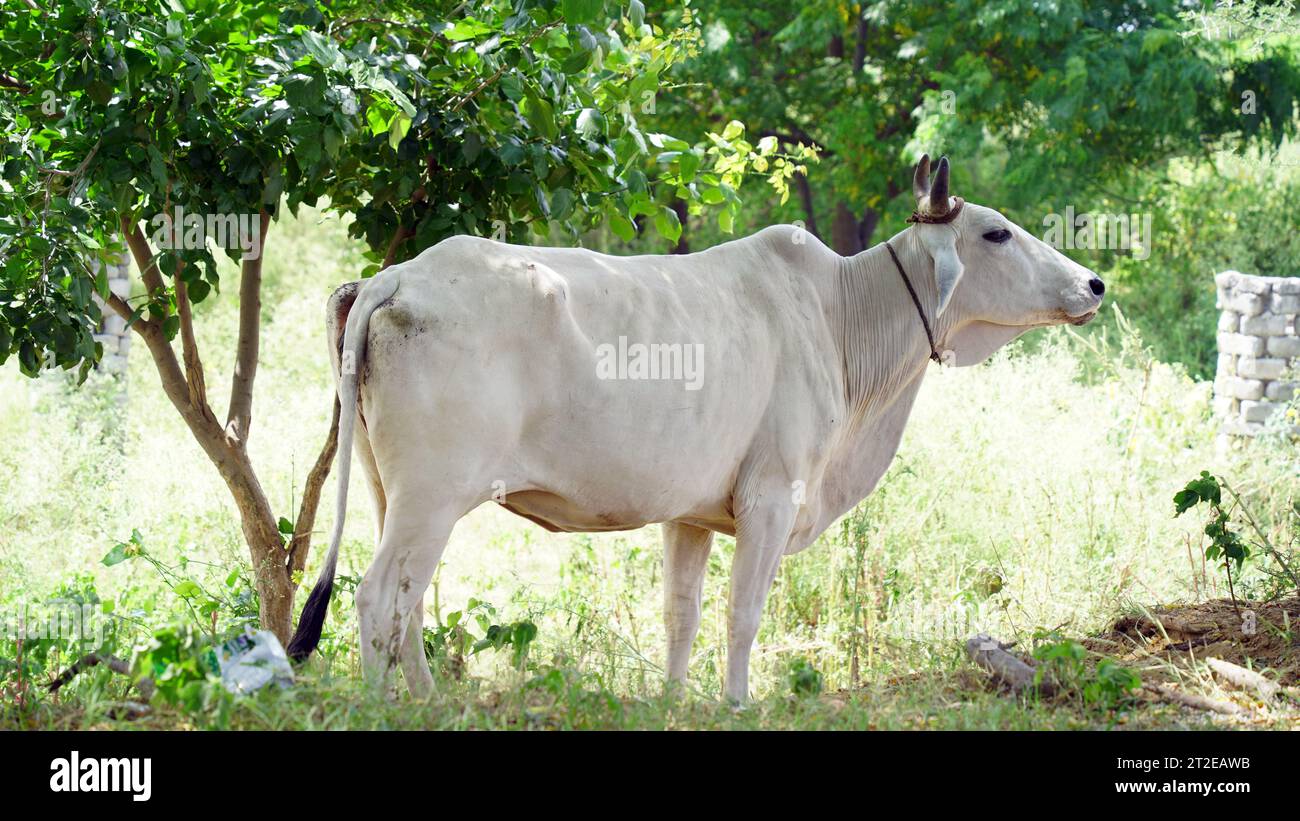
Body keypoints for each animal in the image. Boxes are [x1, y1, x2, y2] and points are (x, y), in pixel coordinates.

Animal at [285, 155, 1105, 702]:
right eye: (996, 233)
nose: (1093, 284)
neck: (842, 315)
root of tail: (395, 276)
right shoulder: (772, 498)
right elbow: (743, 614)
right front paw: (737, 702)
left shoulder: (690, 515)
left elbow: (680, 614)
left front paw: (676, 701)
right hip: (432, 495)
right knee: (378, 598)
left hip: (397, 494)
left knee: (408, 601)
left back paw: (428, 701)